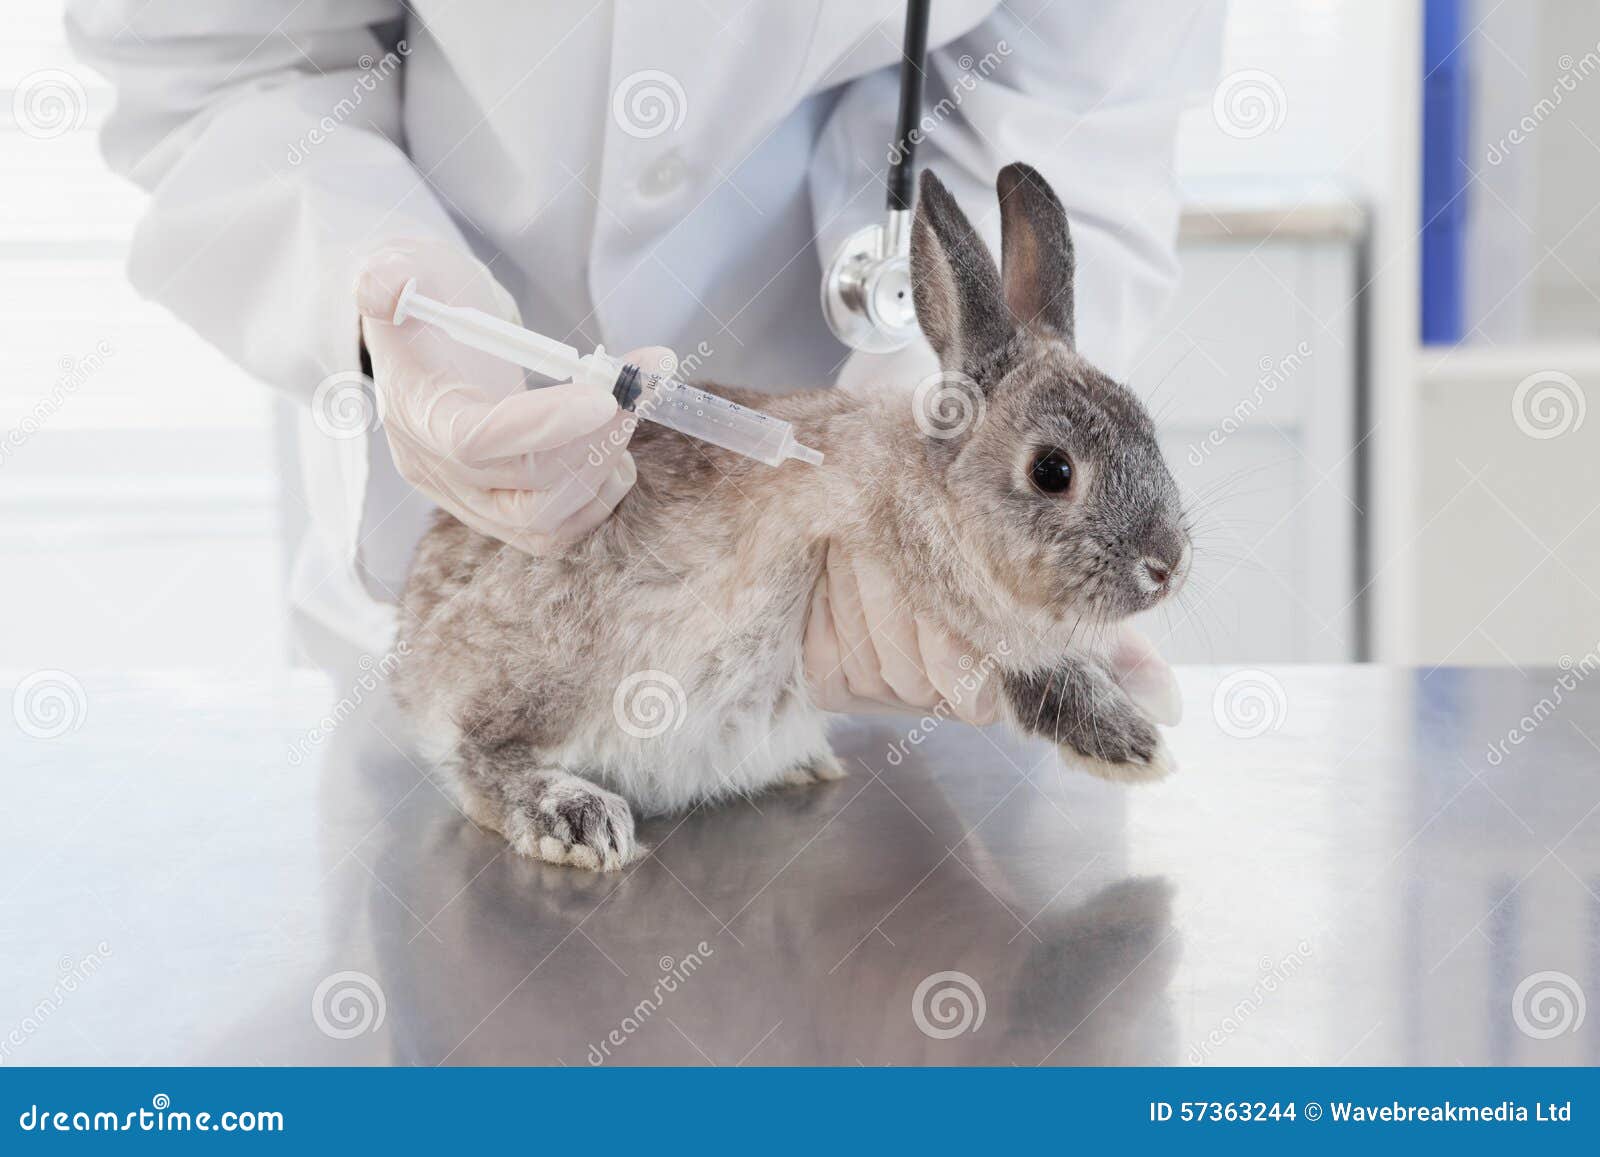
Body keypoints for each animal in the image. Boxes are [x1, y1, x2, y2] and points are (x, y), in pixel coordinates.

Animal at [392, 163, 1192, 872]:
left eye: (1149, 428)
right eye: (1052, 470)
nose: (1167, 565)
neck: (935, 495)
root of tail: (414, 660)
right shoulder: (962, 628)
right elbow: (1049, 676)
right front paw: (1137, 748)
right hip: (559, 669)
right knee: (476, 751)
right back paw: (573, 817)